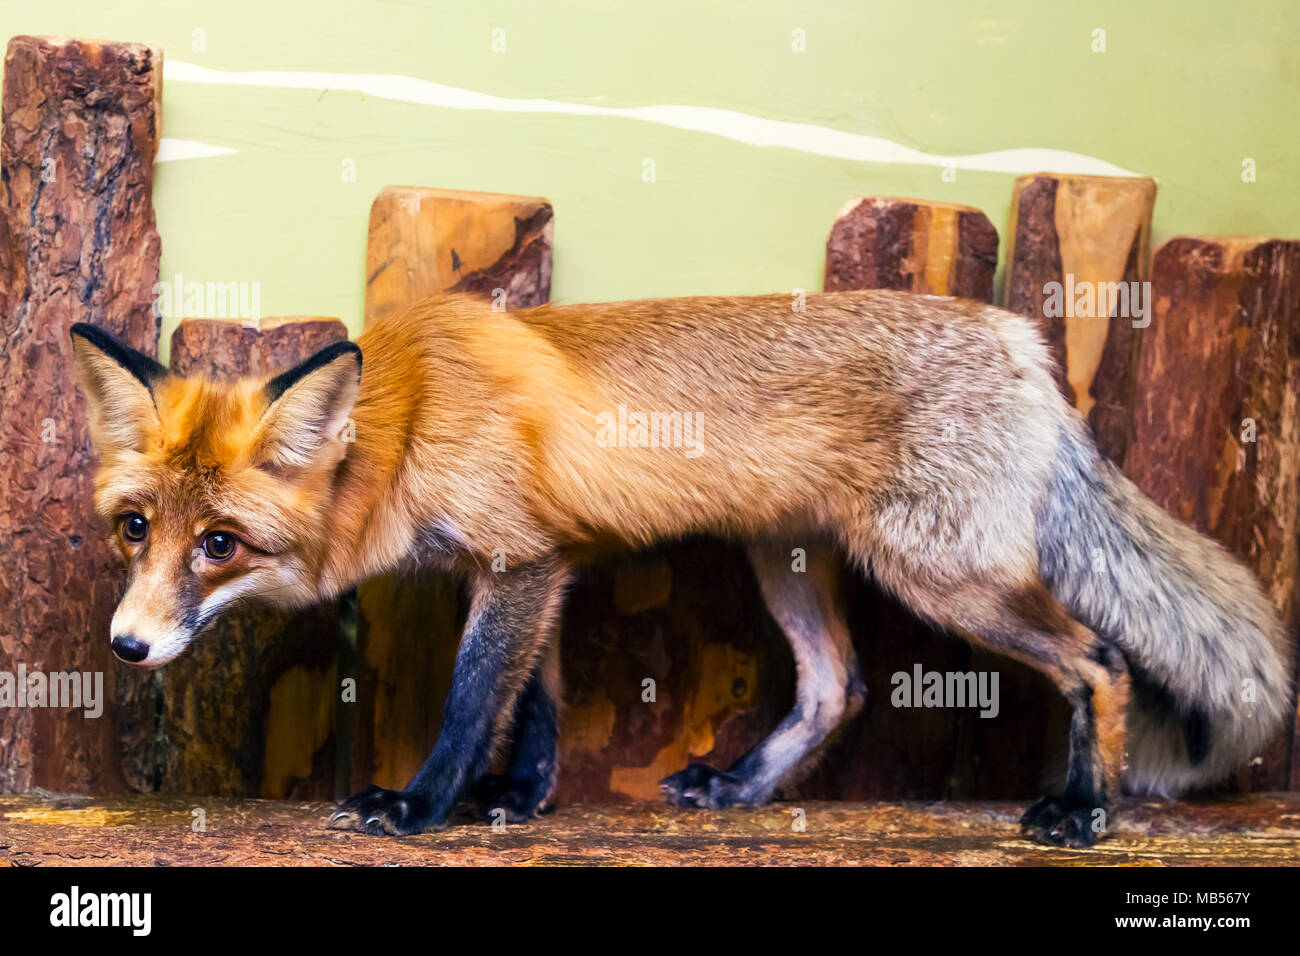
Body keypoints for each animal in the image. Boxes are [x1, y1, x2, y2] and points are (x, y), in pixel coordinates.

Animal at [70, 289, 1291, 848]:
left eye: (220, 544)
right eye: (135, 528)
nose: (126, 644)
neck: (411, 421)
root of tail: (1022, 342)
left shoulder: (518, 561)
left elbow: (473, 700)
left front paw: (422, 804)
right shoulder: (545, 559)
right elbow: (540, 701)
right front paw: (520, 798)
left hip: (947, 579)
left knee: (1100, 660)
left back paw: (1084, 808)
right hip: (787, 560)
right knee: (838, 686)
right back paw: (740, 790)